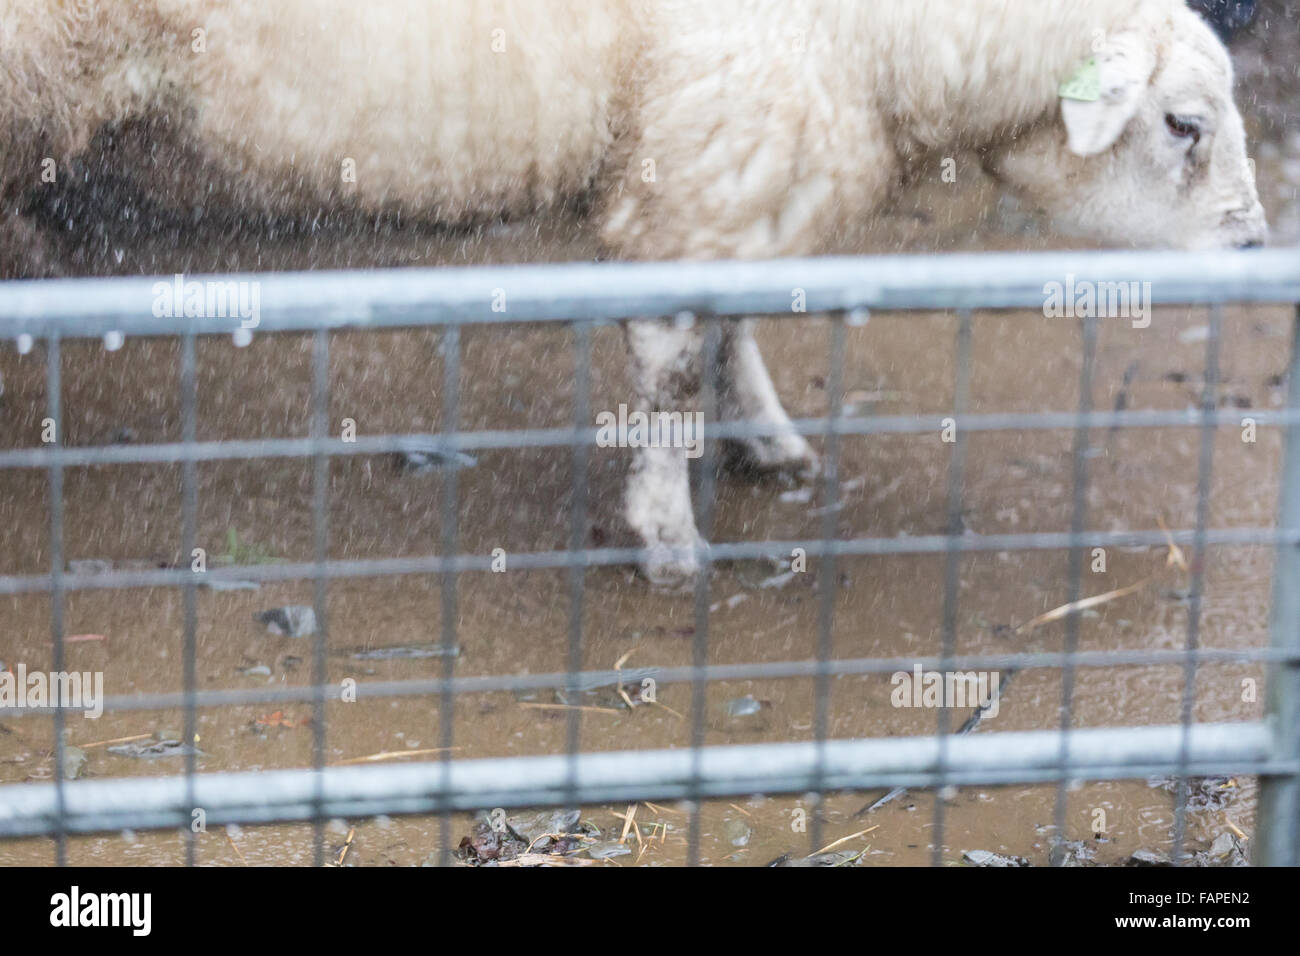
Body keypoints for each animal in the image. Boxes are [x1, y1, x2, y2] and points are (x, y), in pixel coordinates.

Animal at [0, 1, 1267, 585]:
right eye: (1182, 124)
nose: (1260, 251)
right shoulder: (703, 173)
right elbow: (668, 370)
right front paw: (667, 534)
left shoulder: (733, 177)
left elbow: (733, 331)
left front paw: (763, 439)